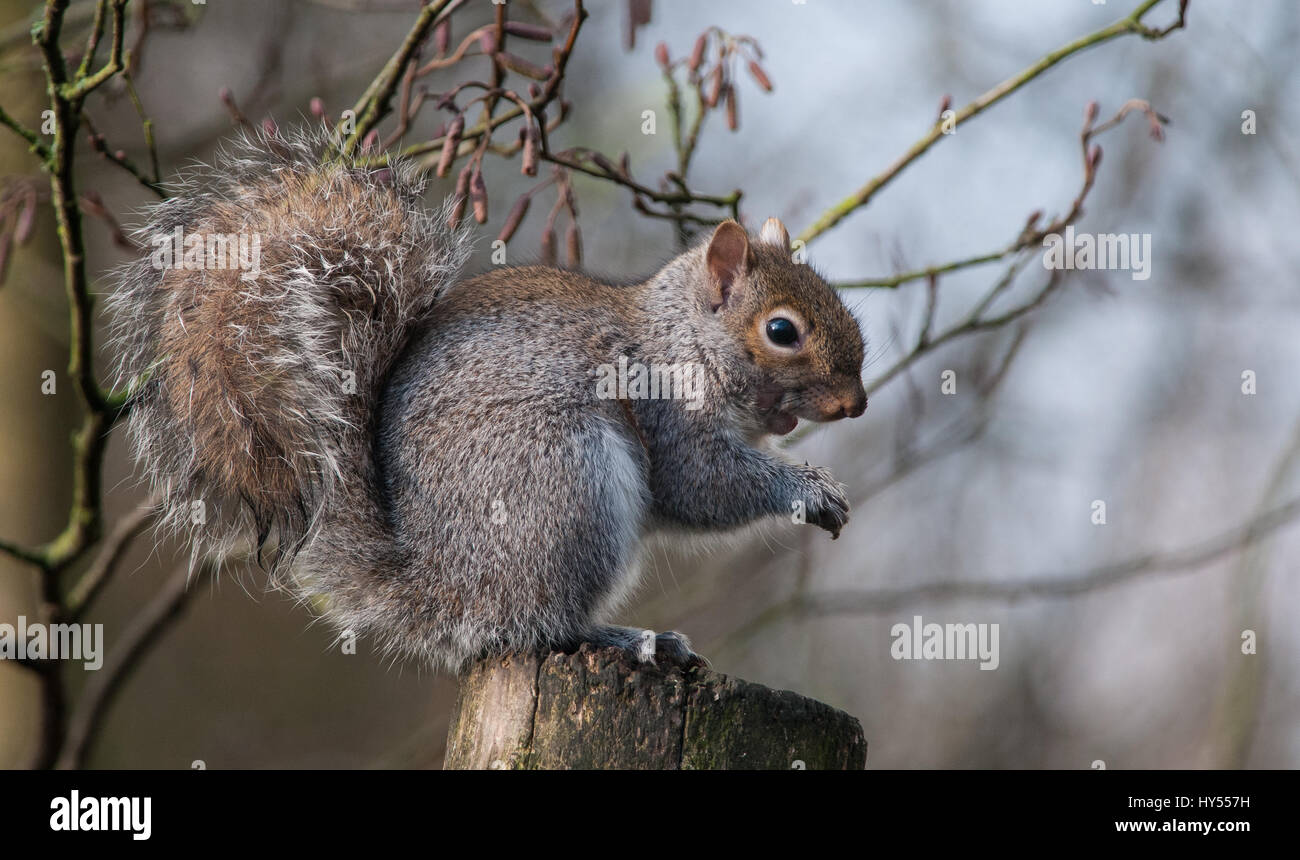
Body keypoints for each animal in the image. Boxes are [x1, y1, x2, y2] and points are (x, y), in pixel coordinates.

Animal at [108, 129, 867, 671]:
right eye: (781, 331)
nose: (855, 405)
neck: (683, 337)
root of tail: (441, 587)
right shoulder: (664, 408)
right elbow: (701, 486)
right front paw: (808, 489)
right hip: (563, 485)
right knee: (537, 626)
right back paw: (627, 639)